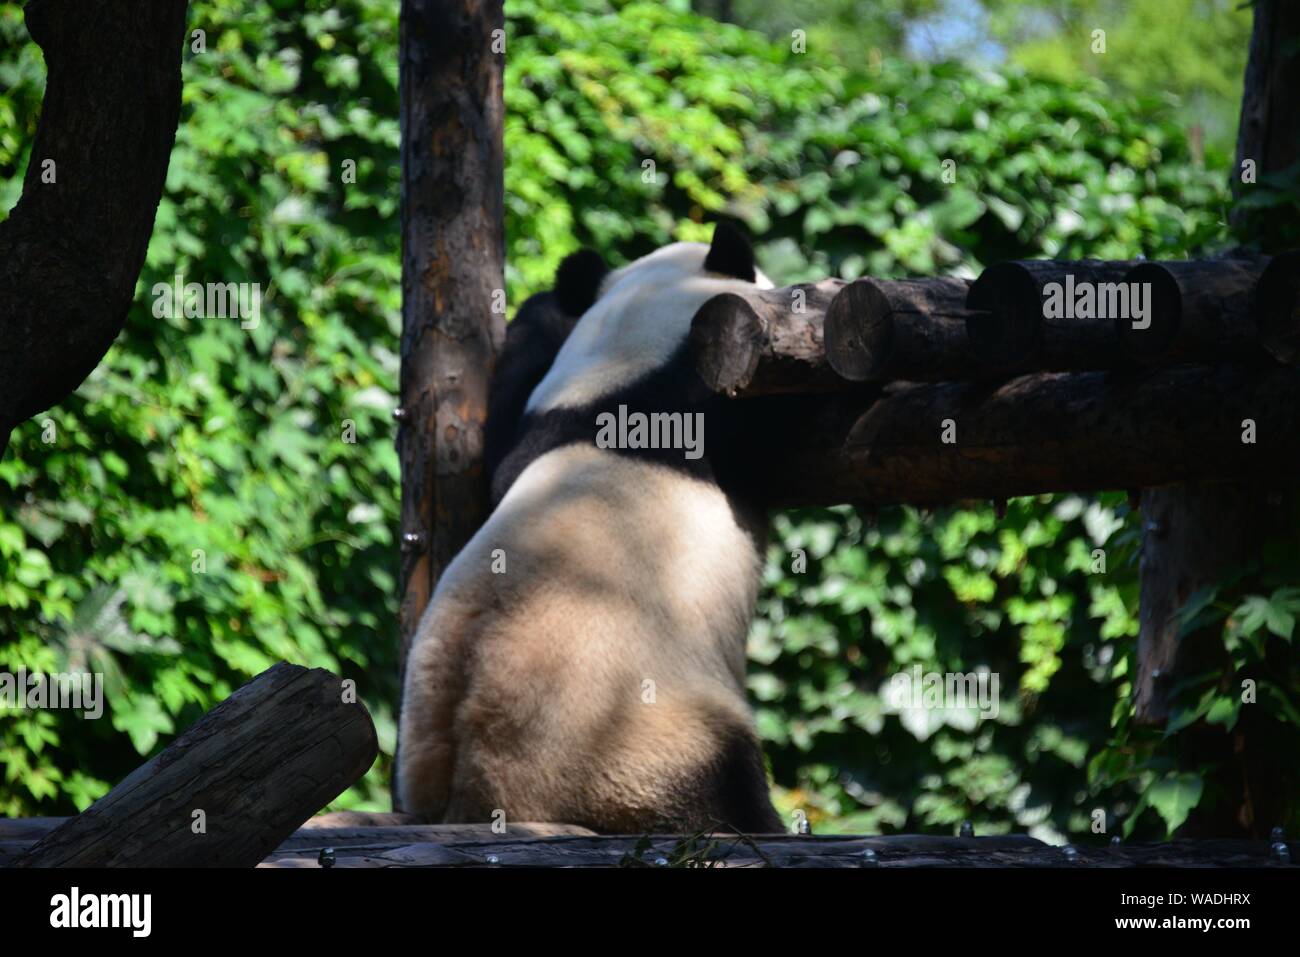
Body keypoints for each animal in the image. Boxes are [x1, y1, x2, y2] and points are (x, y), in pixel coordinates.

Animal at [396, 223, 784, 834]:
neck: (623, 370)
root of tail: (470, 799)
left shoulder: (534, 425)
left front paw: (542, 306)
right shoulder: (717, 409)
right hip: (633, 740)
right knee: (720, 787)